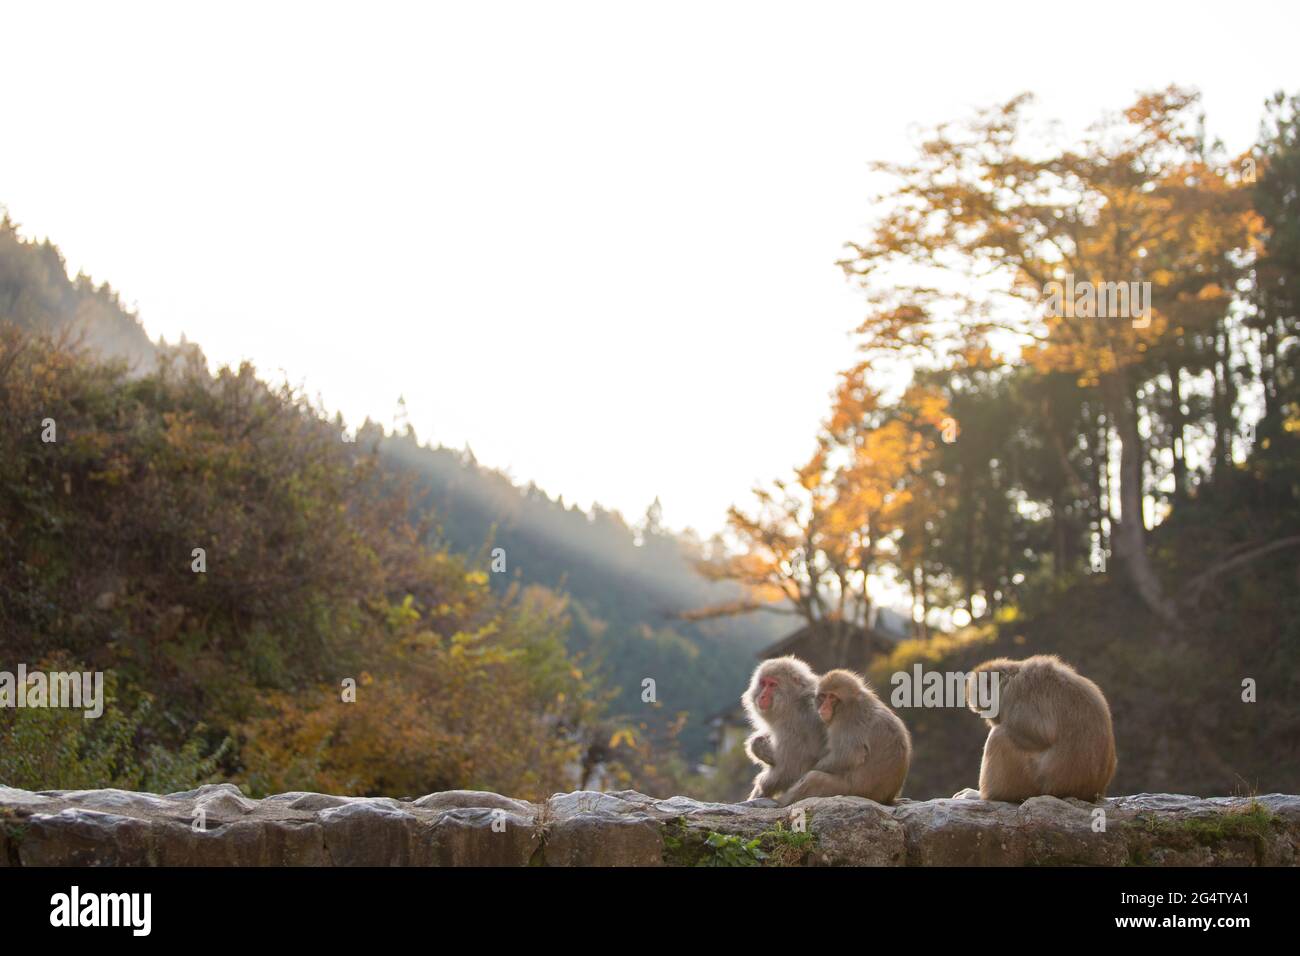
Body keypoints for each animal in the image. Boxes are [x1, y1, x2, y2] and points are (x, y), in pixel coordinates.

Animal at [741, 656, 827, 801]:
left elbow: (789, 768)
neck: (794, 701)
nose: (762, 696)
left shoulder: (794, 725)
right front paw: (758, 745)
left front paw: (762, 787)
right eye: (763, 683)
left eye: (772, 684)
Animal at [777, 669, 911, 806]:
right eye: (823, 696)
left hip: (851, 790)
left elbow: (848, 755)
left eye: (832, 697)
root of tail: (886, 799)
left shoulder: (847, 720)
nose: (824, 708)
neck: (850, 703)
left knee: (814, 779)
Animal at [957, 654, 1116, 802]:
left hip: (1032, 785)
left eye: (985, 708)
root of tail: (1091, 793)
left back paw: (986, 795)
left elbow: (1040, 734)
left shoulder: (1017, 691)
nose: (986, 718)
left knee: (999, 736)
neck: (1011, 677)